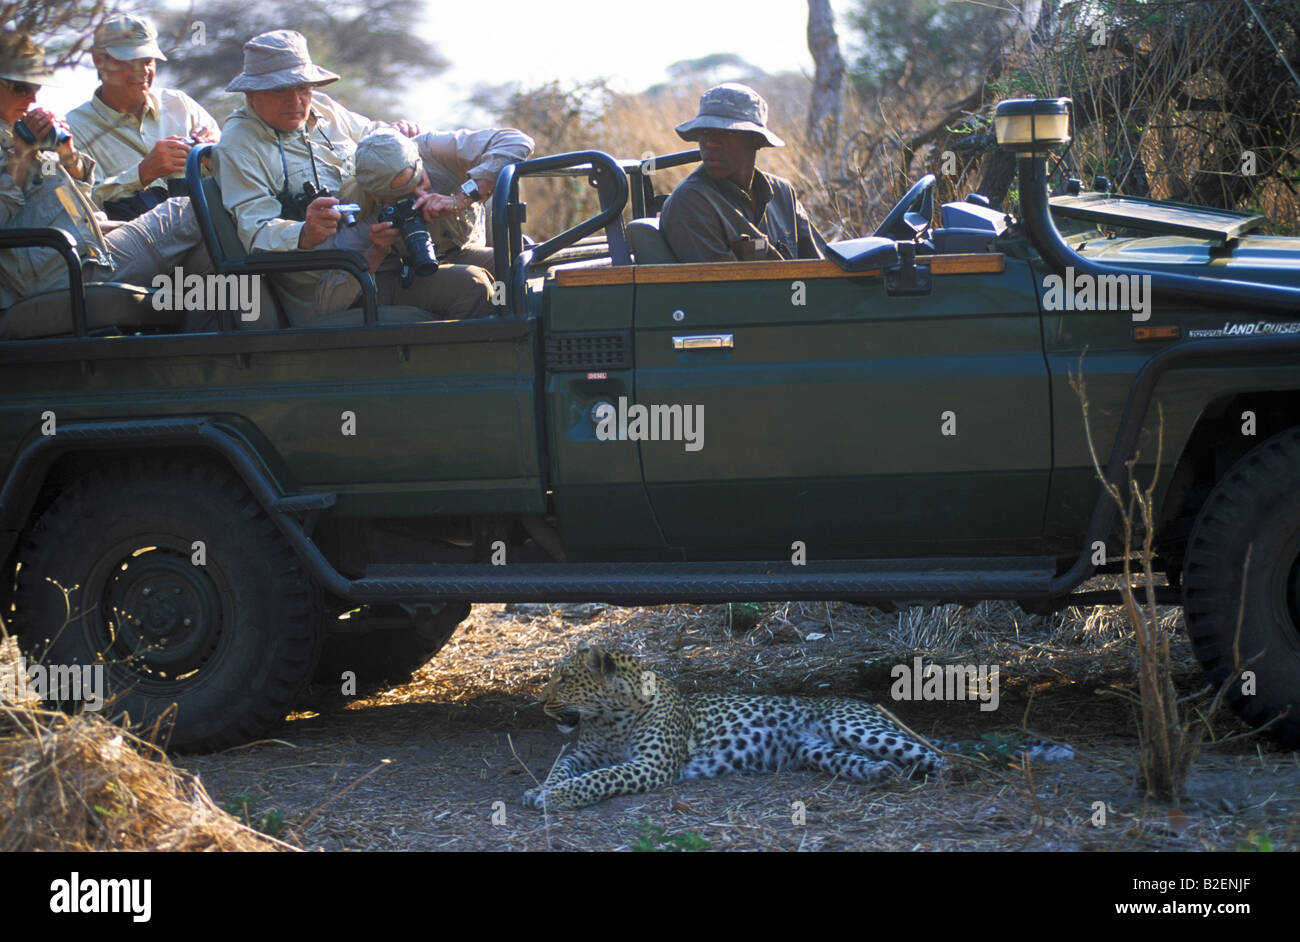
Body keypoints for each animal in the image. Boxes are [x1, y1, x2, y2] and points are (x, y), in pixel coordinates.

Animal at [522, 642, 1070, 811]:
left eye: (564, 679)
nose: (540, 702)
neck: (611, 719)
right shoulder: (581, 751)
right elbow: (564, 765)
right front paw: (541, 791)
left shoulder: (651, 765)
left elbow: (600, 778)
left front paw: (558, 796)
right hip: (818, 750)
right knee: (883, 765)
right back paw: (881, 776)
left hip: (858, 727)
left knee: (942, 757)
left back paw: (953, 774)